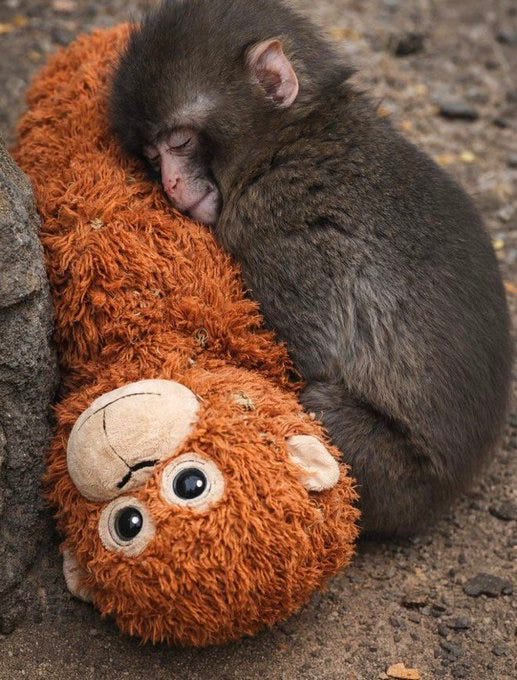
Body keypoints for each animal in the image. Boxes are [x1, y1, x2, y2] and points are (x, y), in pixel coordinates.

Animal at [109, 0, 512, 535]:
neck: (288, 138)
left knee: (321, 407)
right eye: (153, 155)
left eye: (180, 142)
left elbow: (309, 356)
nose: (172, 185)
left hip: (394, 477)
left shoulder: (281, 228)